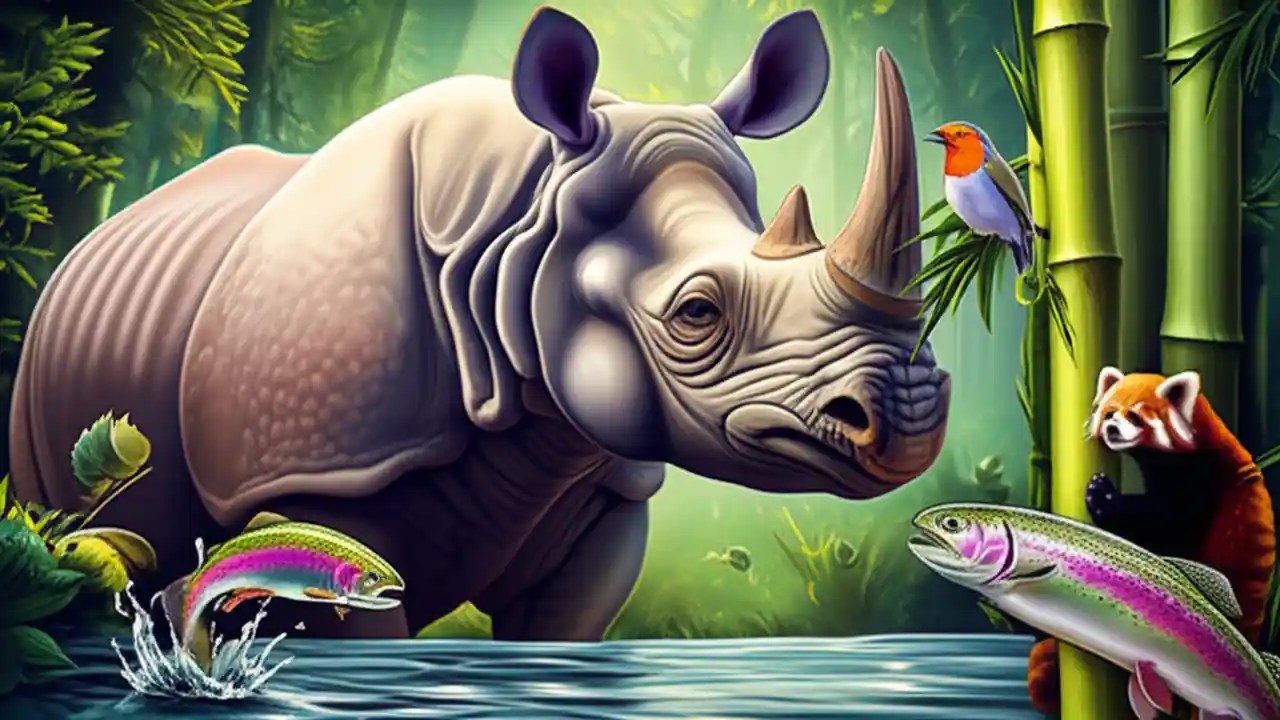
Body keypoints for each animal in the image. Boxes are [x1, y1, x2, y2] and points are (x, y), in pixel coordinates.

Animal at [9, 7, 950, 640]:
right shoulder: (312, 472)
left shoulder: (605, 491)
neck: (522, 219)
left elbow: (562, 628)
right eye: (695, 312)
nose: (905, 419)